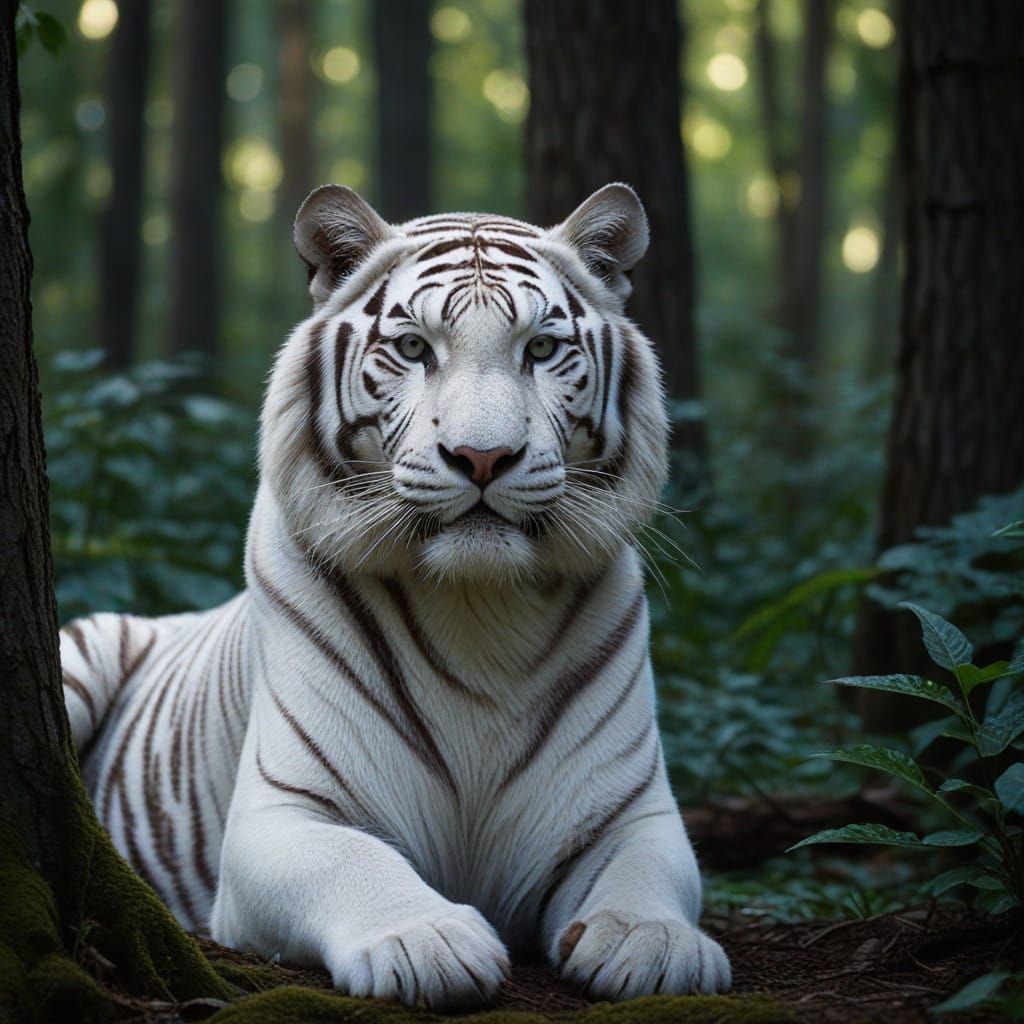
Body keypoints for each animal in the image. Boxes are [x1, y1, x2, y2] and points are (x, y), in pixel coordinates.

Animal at [59, 183, 731, 1009]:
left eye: (541, 350)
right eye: (414, 349)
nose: (483, 456)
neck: (479, 608)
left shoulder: (630, 810)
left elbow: (649, 871)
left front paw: (653, 943)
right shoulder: (282, 811)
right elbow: (353, 862)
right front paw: (426, 940)